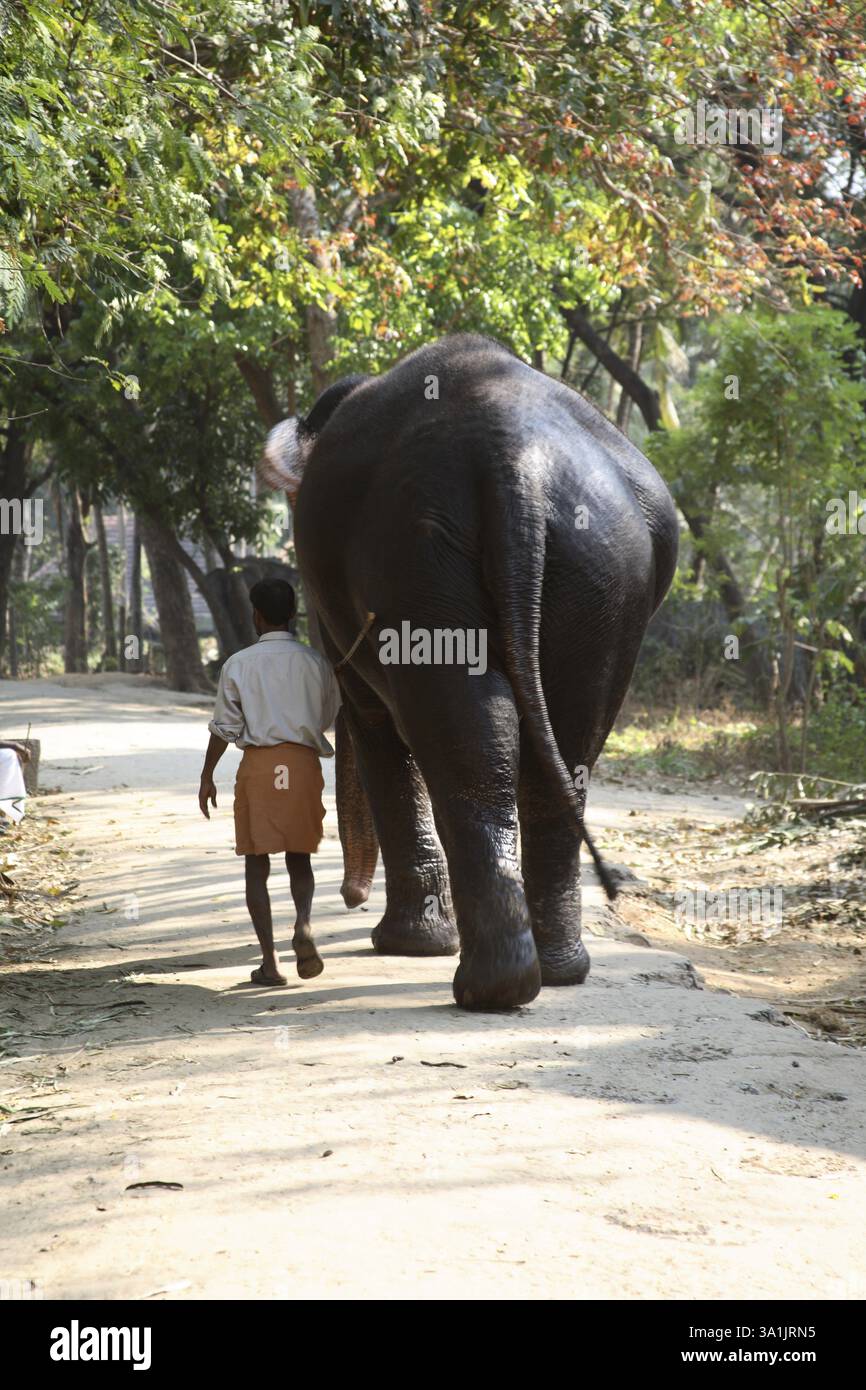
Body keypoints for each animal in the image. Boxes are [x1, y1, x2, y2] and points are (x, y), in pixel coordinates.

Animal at [261, 334, 678, 1011]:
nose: (350, 897)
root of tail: (517, 463)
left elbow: (373, 719)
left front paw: (407, 946)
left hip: (421, 553)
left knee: (467, 726)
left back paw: (485, 986)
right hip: (600, 572)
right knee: (563, 739)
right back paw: (552, 973)